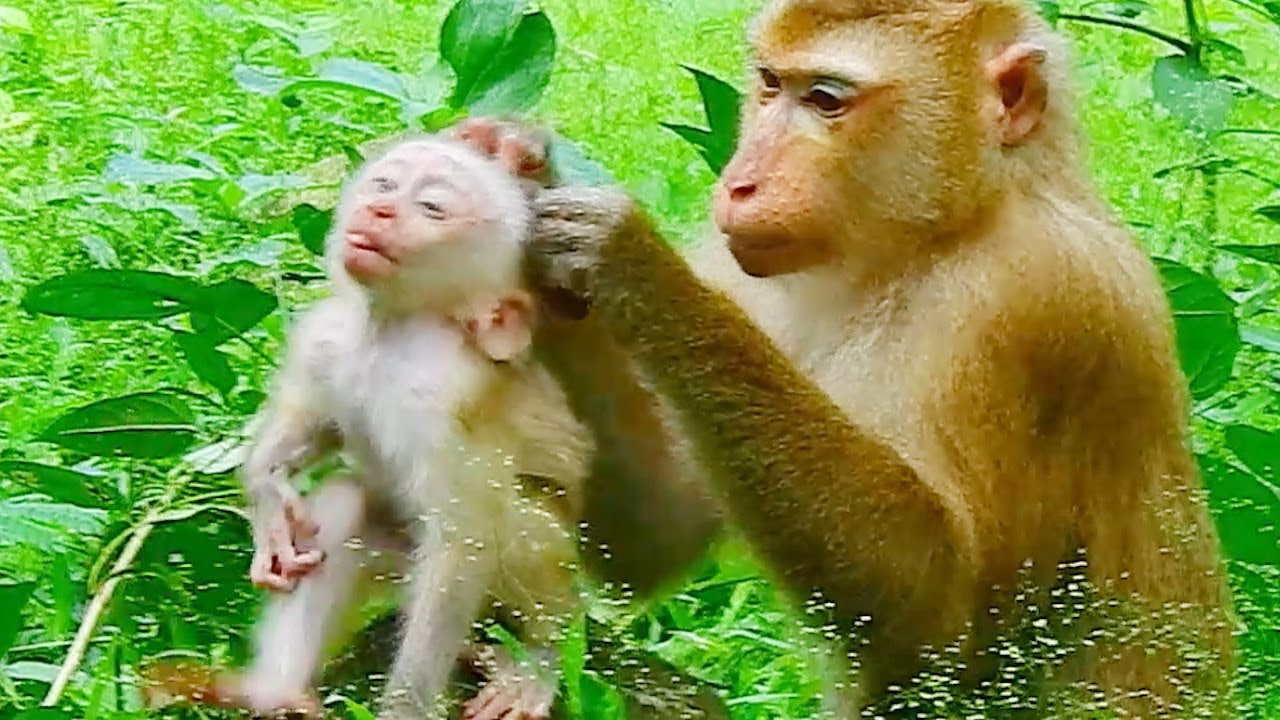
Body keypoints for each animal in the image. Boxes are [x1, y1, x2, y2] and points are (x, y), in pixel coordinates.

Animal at [497, 0, 1239, 716]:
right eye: (770, 84)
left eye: (826, 98)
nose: (741, 183)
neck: (936, 237)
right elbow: (656, 539)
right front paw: (523, 179)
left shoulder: (1032, 302)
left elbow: (939, 619)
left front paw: (632, 262)